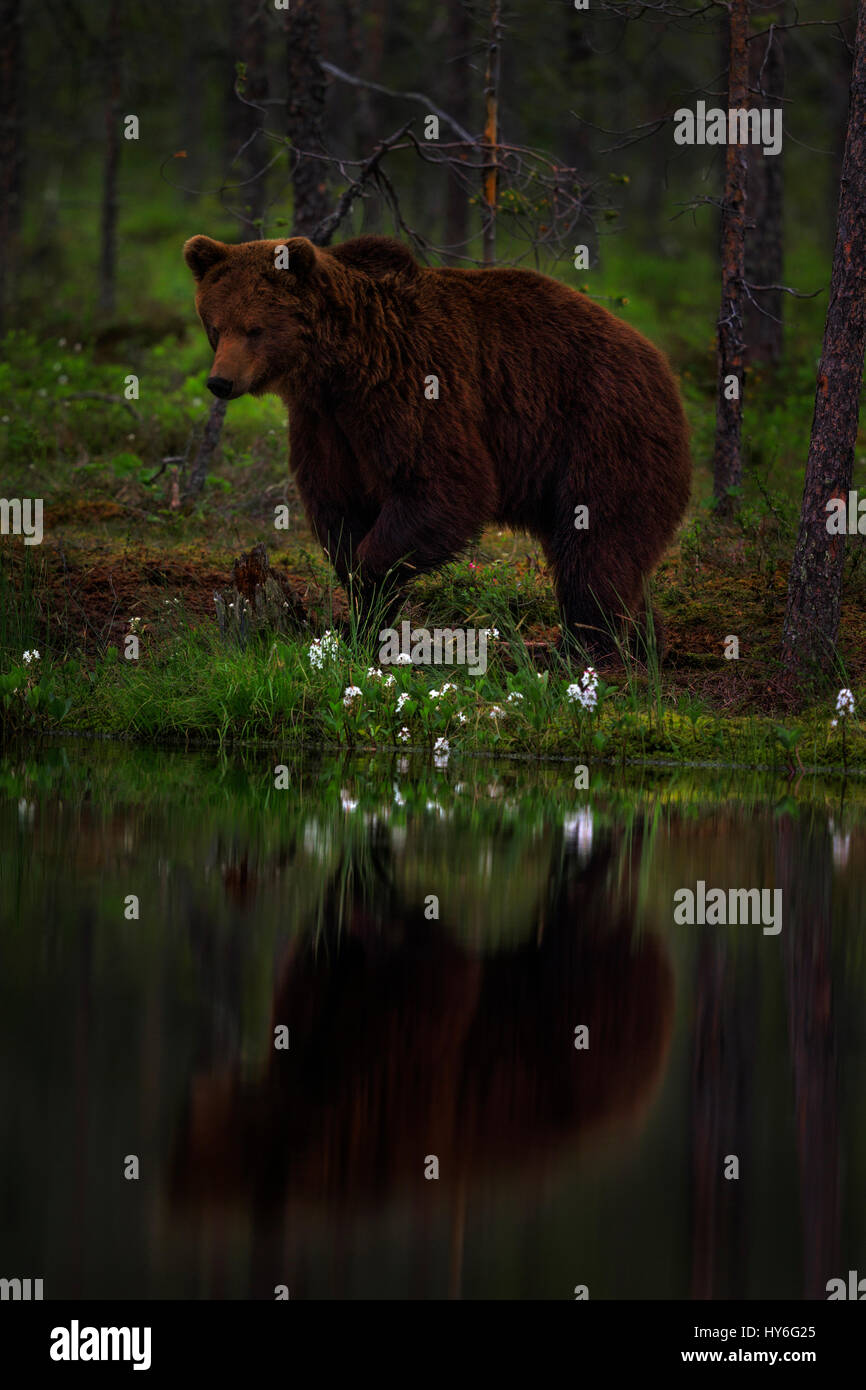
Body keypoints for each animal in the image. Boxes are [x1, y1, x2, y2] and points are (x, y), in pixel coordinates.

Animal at [183, 232, 692, 657]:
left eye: (254, 328)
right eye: (216, 325)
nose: (220, 382)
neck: (343, 368)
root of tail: (661, 363)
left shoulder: (414, 386)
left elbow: (445, 486)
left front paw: (369, 592)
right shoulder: (325, 425)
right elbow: (338, 506)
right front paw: (363, 620)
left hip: (600, 431)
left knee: (595, 545)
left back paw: (583, 646)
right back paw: (646, 639)